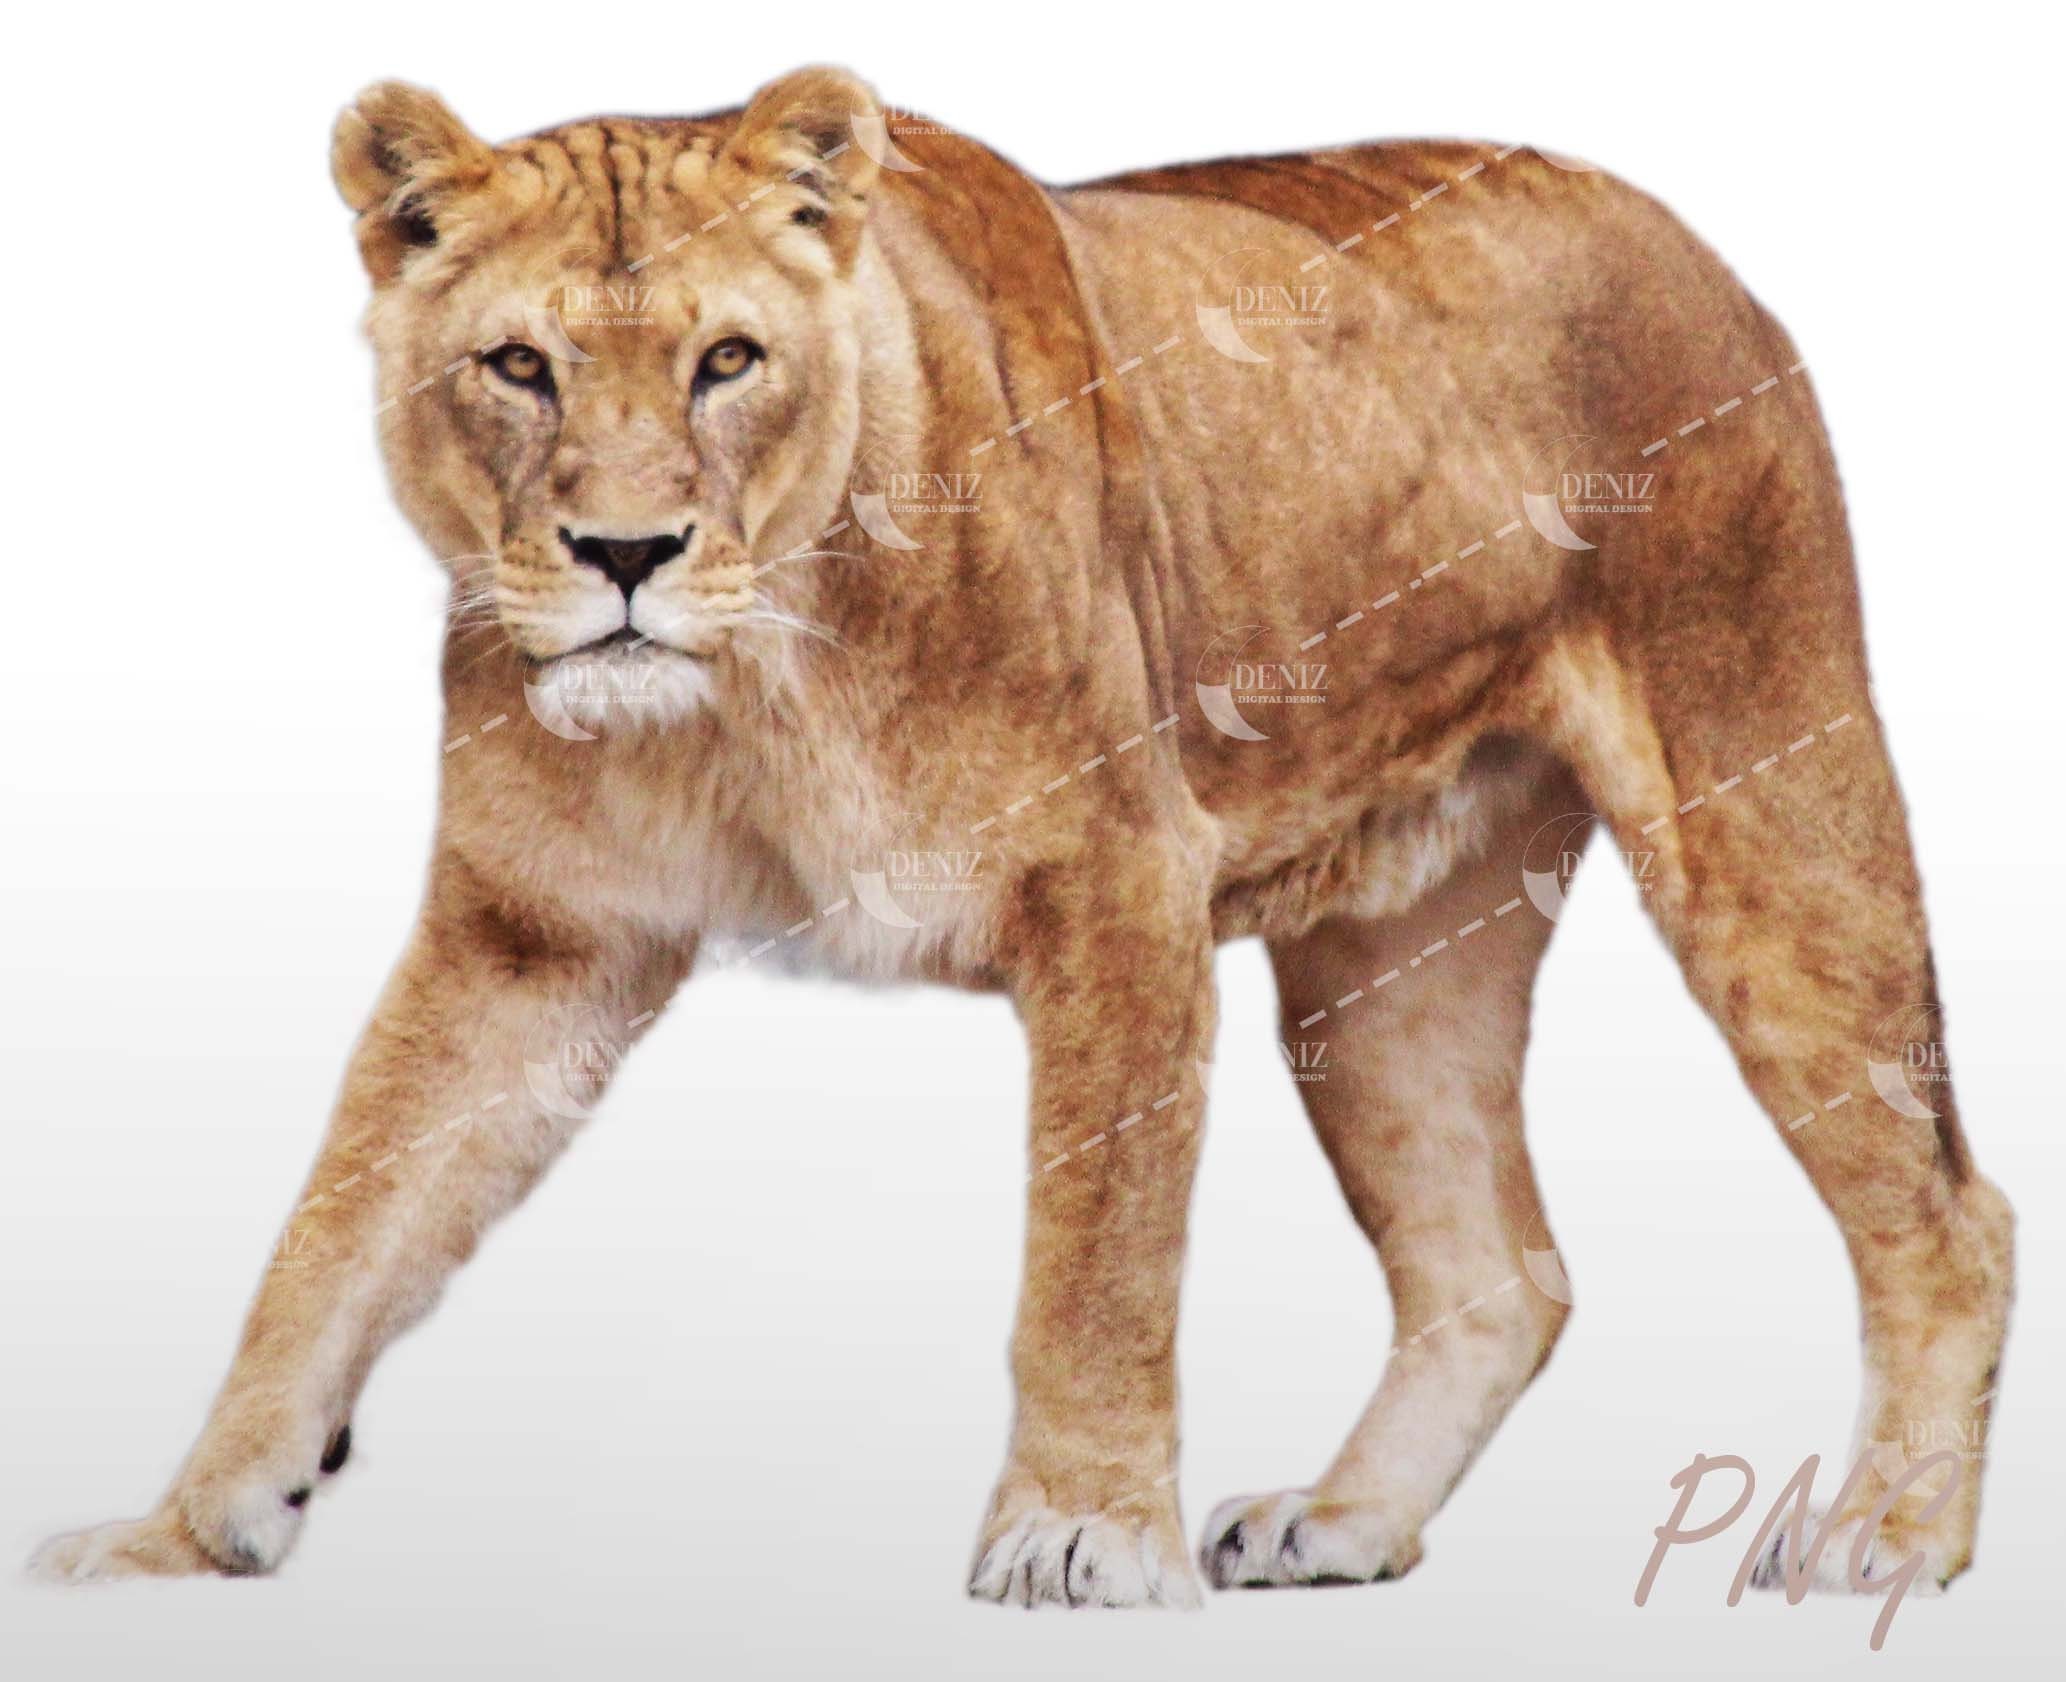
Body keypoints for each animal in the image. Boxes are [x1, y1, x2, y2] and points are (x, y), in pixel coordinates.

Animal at [29, 67, 2012, 1609]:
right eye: (516, 365)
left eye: (728, 359)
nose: (624, 556)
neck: (750, 690)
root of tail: (1668, 224)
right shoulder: (527, 937)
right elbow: (343, 1211)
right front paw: (186, 1525)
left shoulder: (1116, 888)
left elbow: (1095, 1245)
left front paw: (1074, 1533)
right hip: (1384, 961)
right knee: (1497, 1271)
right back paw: (1341, 1521)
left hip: (1760, 808)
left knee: (1947, 1211)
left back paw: (1886, 1538)